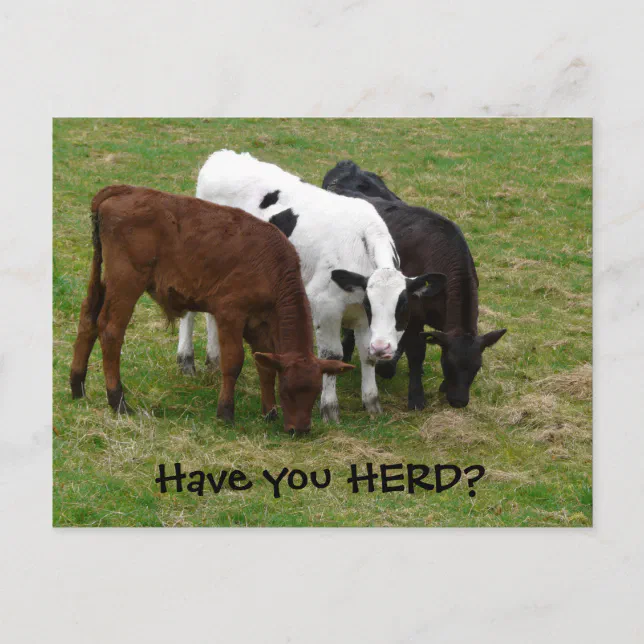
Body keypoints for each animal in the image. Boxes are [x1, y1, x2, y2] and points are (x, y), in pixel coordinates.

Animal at [69, 185, 354, 433]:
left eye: (315, 391)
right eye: (287, 390)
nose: (300, 430)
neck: (271, 266)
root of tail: (126, 189)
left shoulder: (259, 324)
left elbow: (265, 365)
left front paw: (269, 412)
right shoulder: (230, 314)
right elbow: (234, 361)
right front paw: (226, 412)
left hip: (102, 278)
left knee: (88, 320)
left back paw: (77, 386)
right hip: (126, 282)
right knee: (110, 330)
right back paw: (117, 400)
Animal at [176, 150, 446, 422]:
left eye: (402, 307)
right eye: (373, 304)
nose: (383, 348)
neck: (362, 244)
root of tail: (223, 156)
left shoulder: (361, 316)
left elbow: (366, 356)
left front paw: (372, 403)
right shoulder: (325, 307)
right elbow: (332, 356)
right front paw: (329, 409)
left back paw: (213, 361)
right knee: (188, 311)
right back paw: (186, 360)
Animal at [322, 160, 506, 410]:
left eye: (477, 367)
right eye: (448, 363)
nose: (459, 401)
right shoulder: (414, 313)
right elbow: (417, 352)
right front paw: (416, 396)